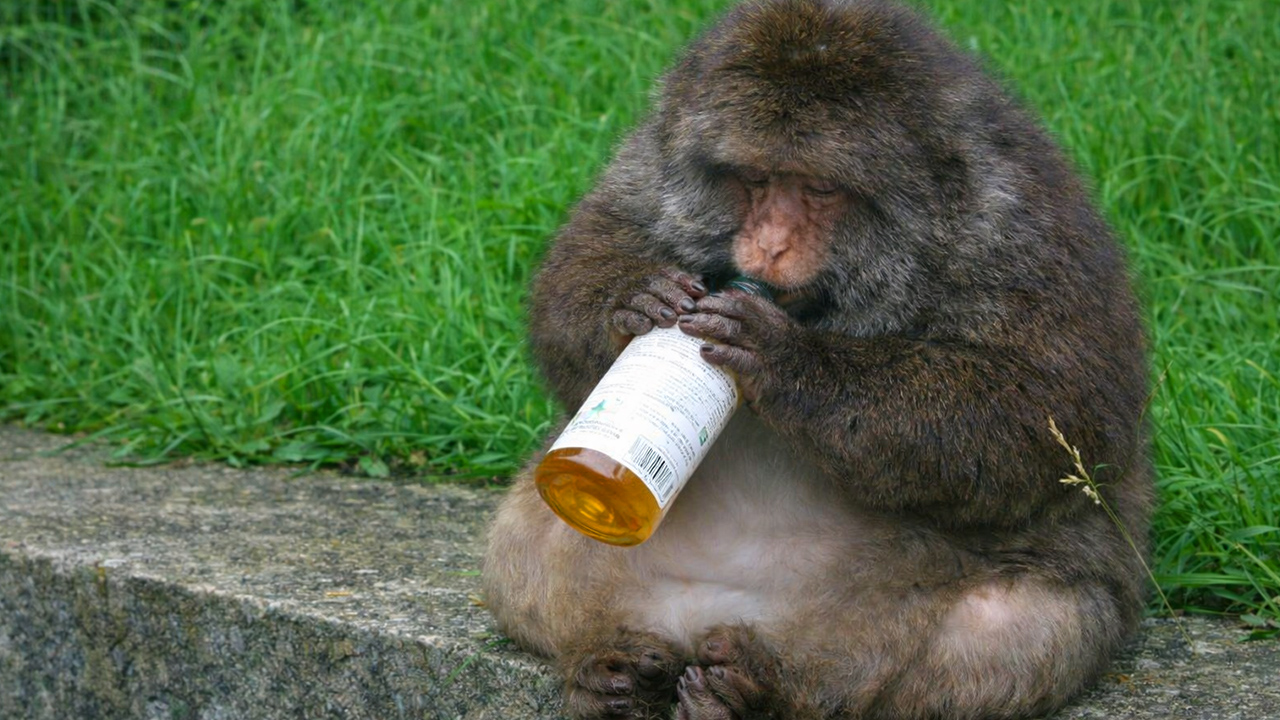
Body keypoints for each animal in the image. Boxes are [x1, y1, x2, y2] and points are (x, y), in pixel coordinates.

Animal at [483, 1, 1153, 718]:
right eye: (755, 180)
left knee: (1020, 620)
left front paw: (789, 363)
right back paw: (612, 671)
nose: (769, 245)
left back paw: (761, 689)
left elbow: (1048, 409)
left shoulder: (1027, 226)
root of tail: (706, 616)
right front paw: (631, 300)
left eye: (820, 190)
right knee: (524, 535)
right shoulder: (651, 162)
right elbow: (588, 254)